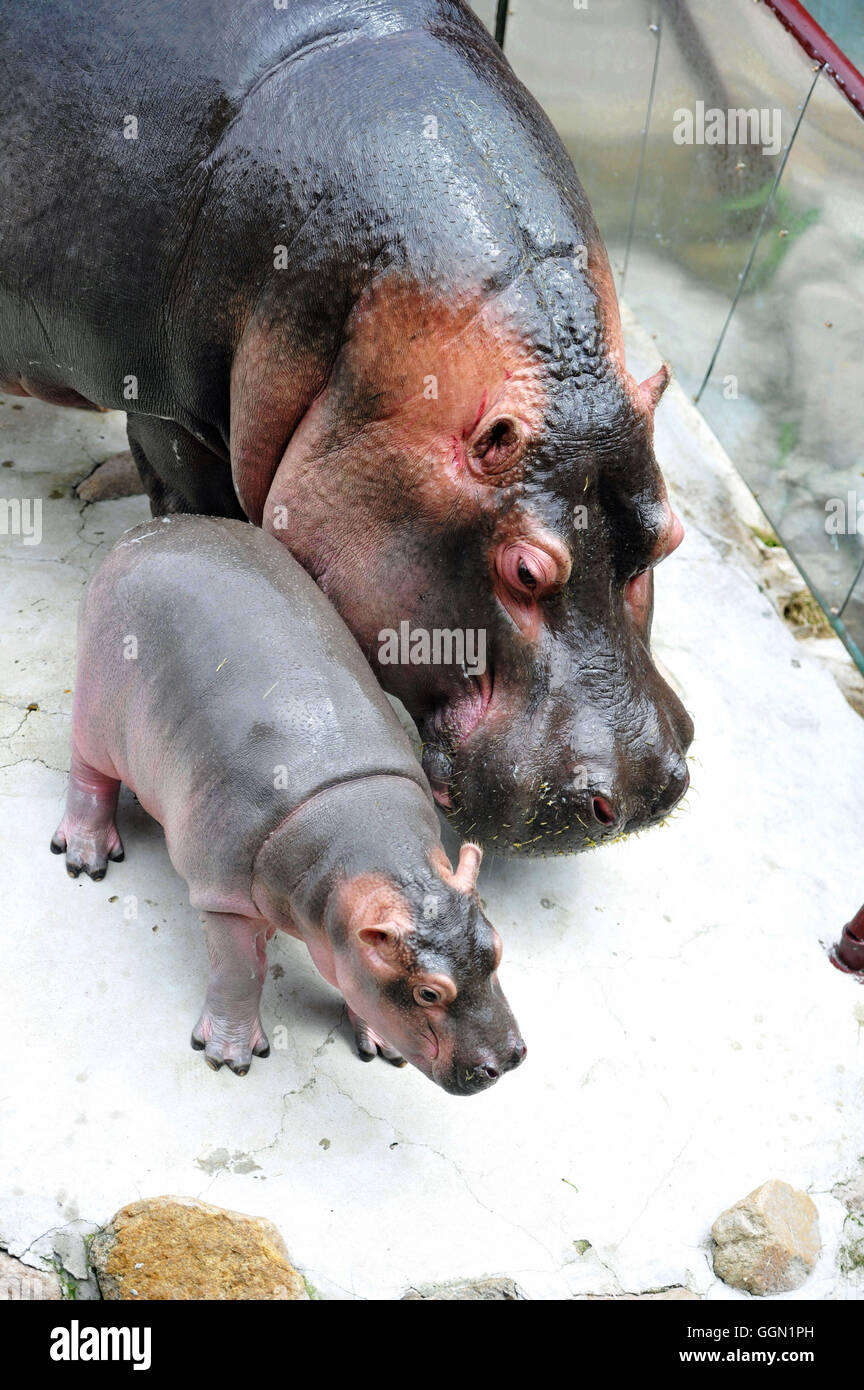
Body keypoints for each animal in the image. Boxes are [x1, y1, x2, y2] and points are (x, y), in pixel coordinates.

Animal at [50, 516, 525, 1095]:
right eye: (428, 993)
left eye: (496, 947)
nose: (507, 1061)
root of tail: (151, 527)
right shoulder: (223, 896)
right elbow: (242, 971)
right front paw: (229, 1057)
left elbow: (353, 979)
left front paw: (379, 1045)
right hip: (97, 713)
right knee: (88, 774)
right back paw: (87, 858)